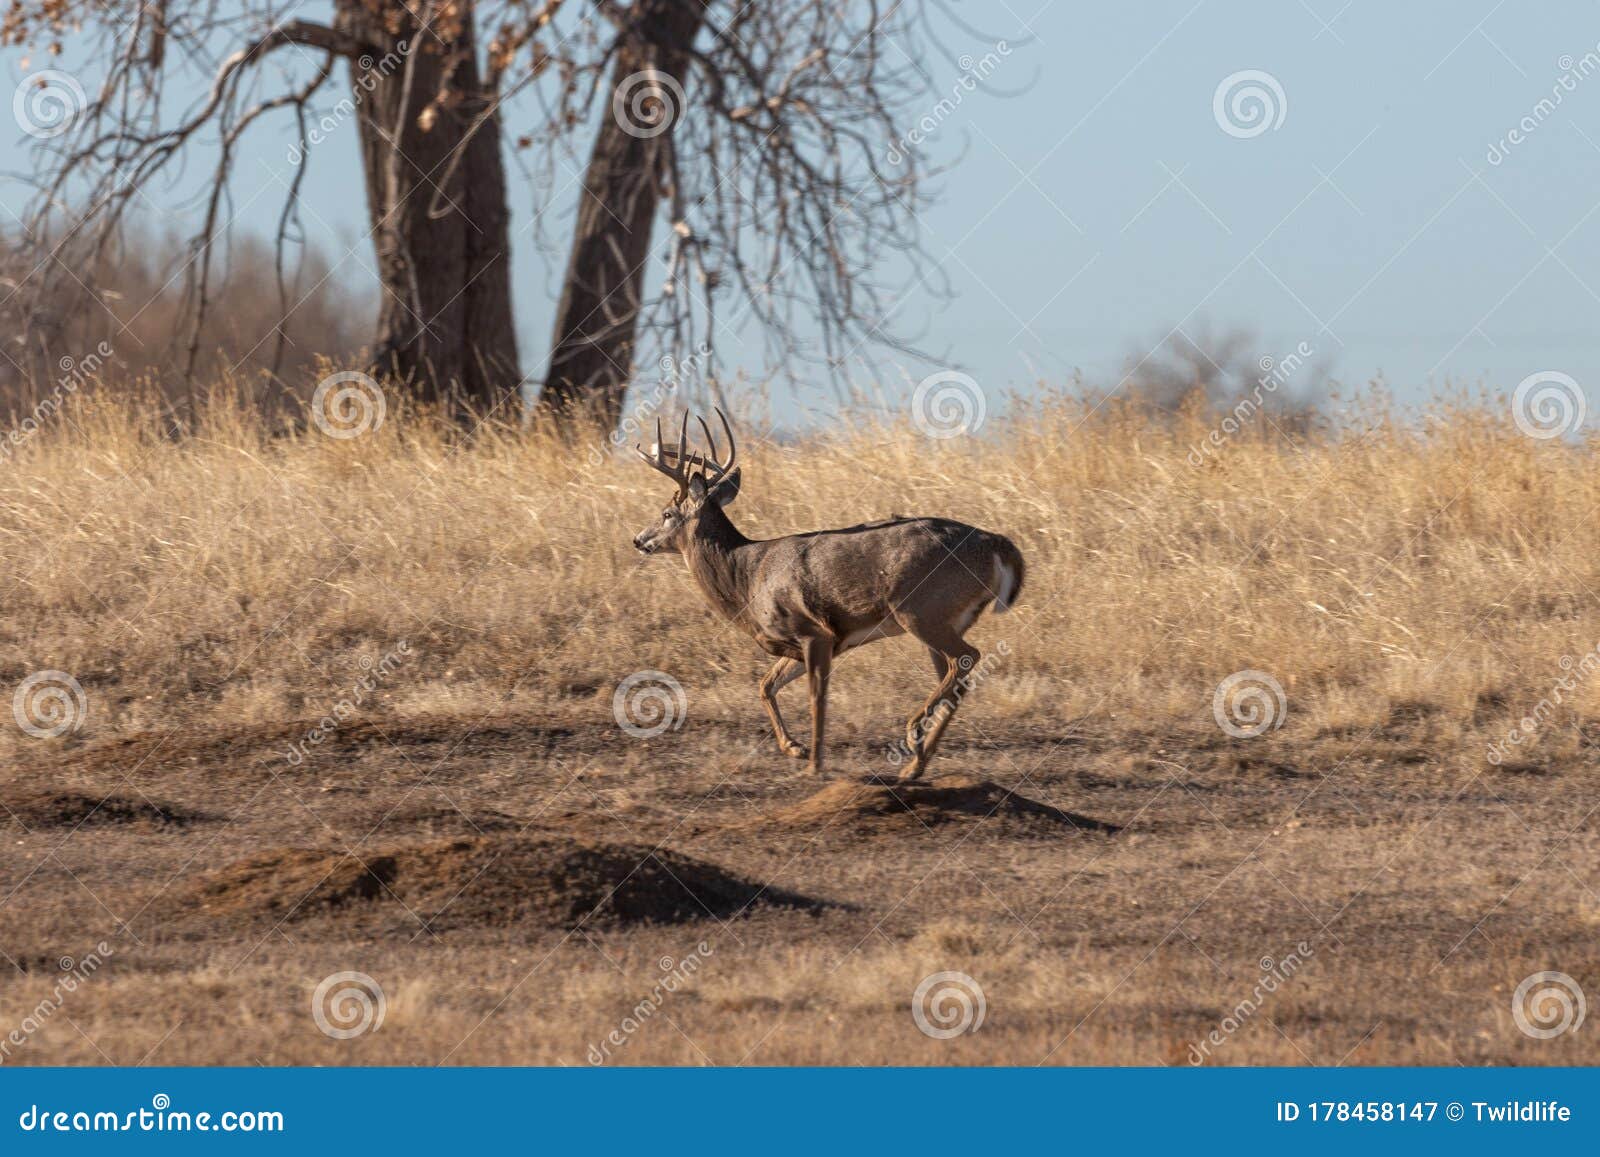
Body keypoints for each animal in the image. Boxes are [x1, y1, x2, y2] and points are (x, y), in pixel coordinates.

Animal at [631, 408, 1025, 781]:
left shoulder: (813, 632)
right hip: (945, 620)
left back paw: (913, 731)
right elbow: (765, 685)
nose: (638, 539)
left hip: (920, 610)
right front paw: (795, 749)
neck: (746, 577)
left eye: (667, 513)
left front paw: (814, 765)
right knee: (957, 673)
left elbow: (816, 697)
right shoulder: (807, 643)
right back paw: (914, 765)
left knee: (967, 657)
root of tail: (996, 544)